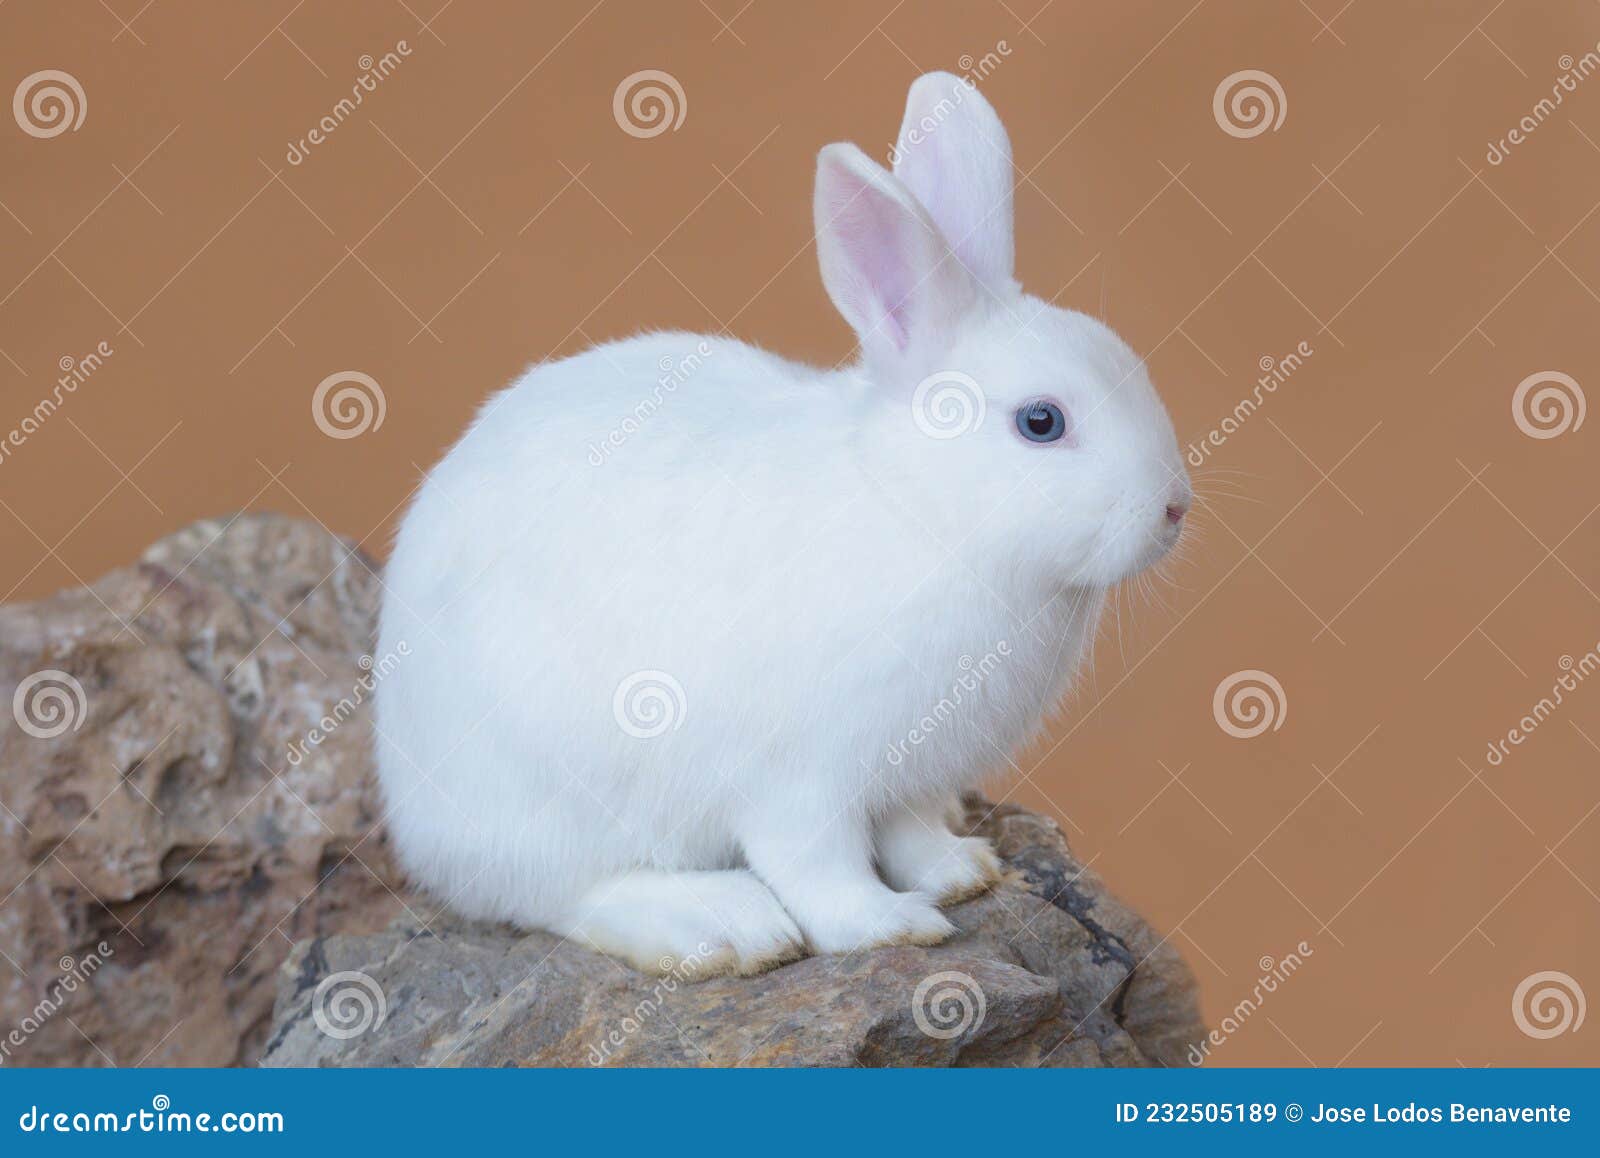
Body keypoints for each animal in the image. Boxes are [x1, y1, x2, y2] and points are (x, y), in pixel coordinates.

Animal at [374, 71, 1190, 978]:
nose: (1173, 508)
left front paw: (960, 872)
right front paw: (887, 924)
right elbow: (818, 866)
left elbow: (909, 834)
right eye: (1041, 422)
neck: (920, 508)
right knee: (561, 896)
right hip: (548, 792)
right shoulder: (798, 782)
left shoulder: (908, 778)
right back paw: (725, 927)